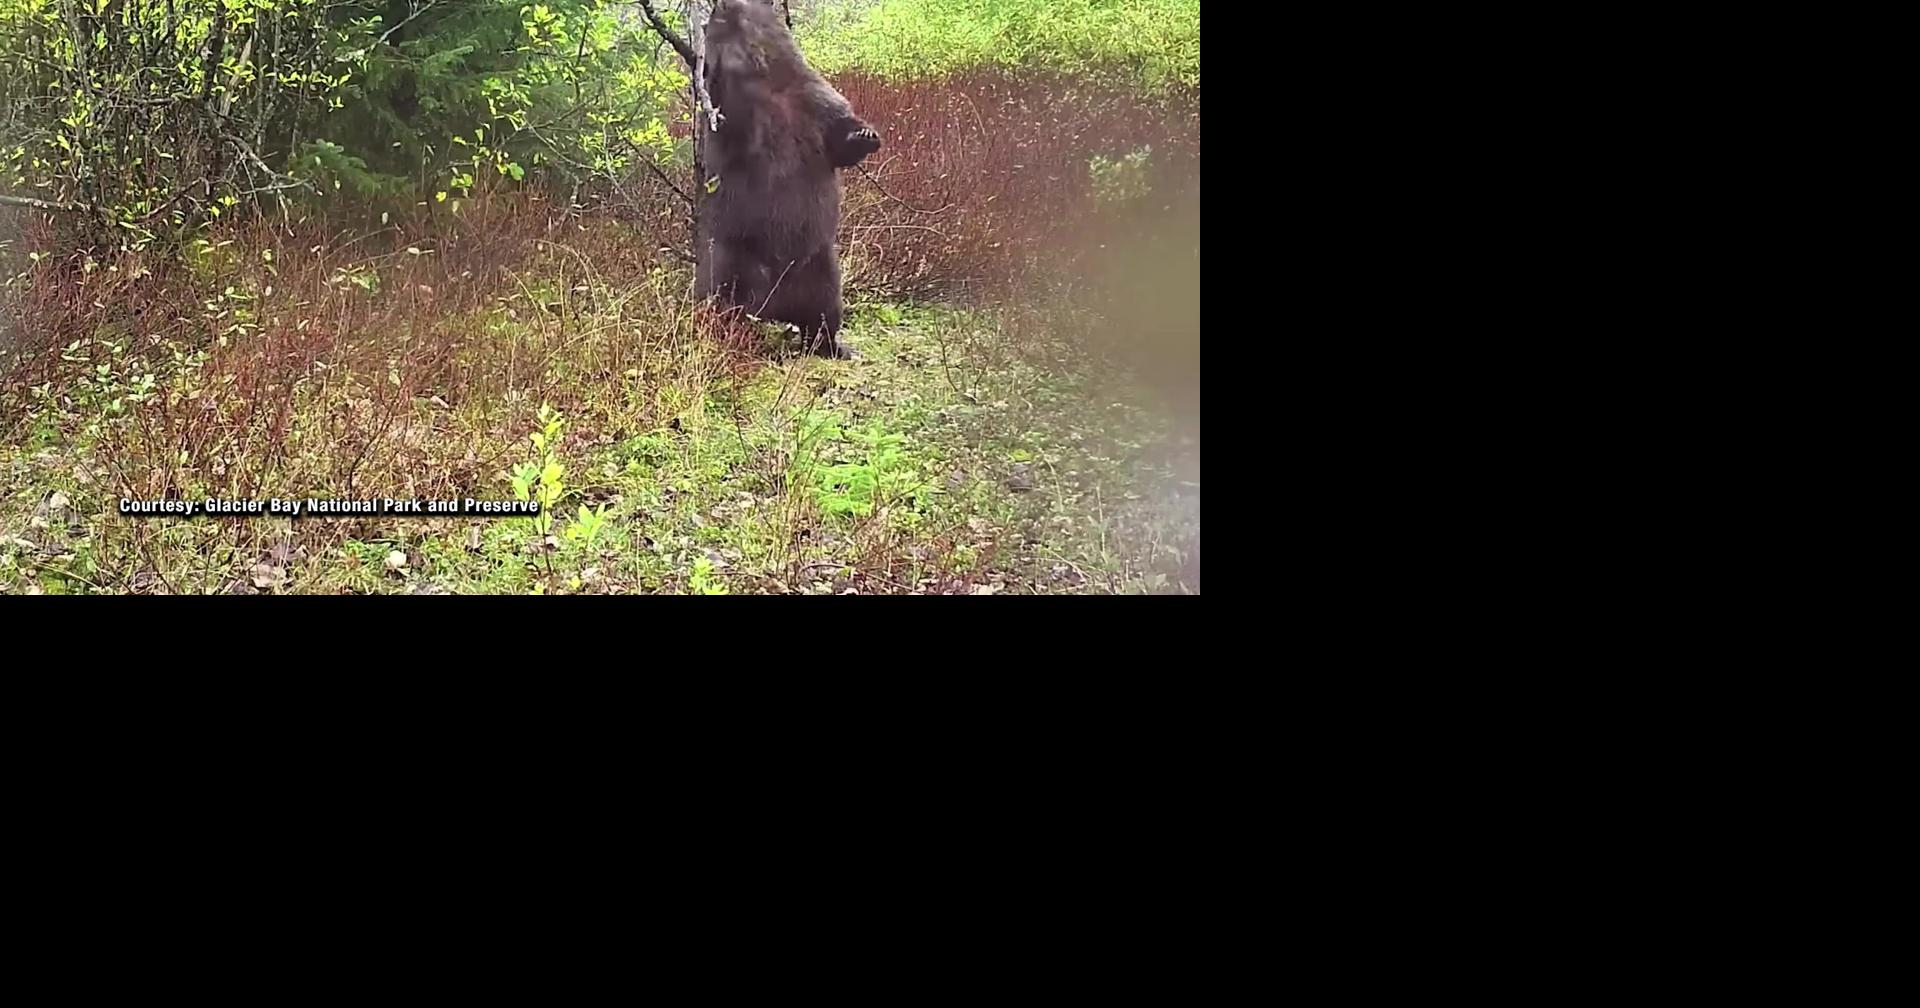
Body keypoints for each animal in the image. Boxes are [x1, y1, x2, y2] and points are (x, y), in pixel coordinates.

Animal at [694, 0, 882, 358]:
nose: (719, 7)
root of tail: (770, 309)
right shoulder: (743, 113)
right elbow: (730, 128)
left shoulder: (811, 96)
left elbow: (837, 136)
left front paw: (865, 135)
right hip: (729, 255)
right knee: (716, 290)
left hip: (820, 265)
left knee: (825, 311)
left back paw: (834, 346)